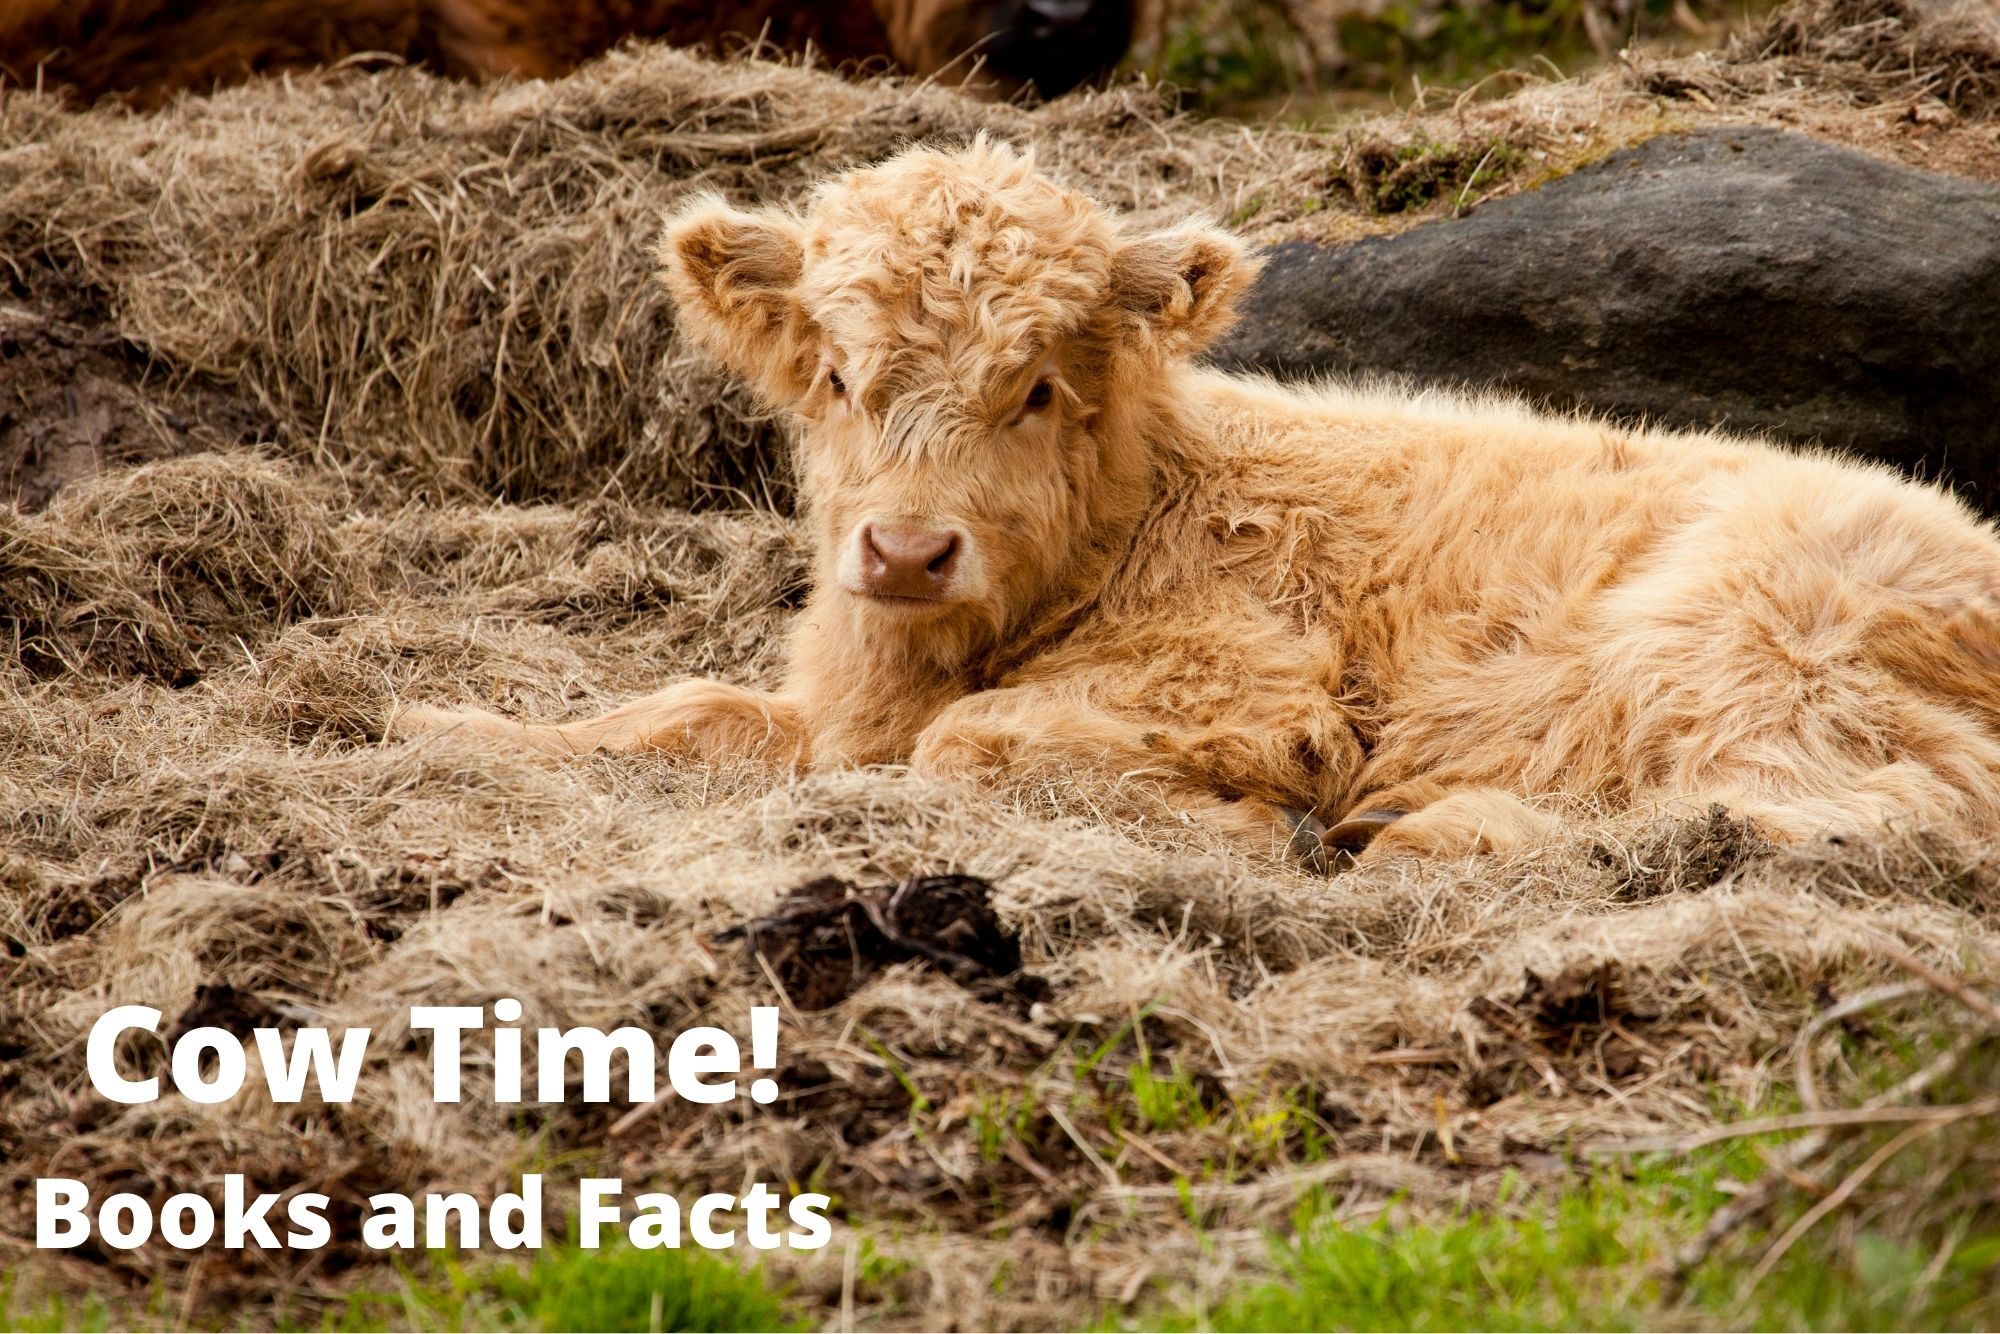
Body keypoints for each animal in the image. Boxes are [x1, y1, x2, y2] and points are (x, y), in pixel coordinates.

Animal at [392, 135, 2000, 869]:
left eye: (1038, 385)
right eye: (838, 376)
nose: (904, 548)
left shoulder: (1249, 689)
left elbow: (967, 752)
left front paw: (1244, 826)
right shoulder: (826, 700)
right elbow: (681, 713)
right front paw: (451, 728)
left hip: (1736, 651)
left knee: (1837, 812)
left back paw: (1411, 830)